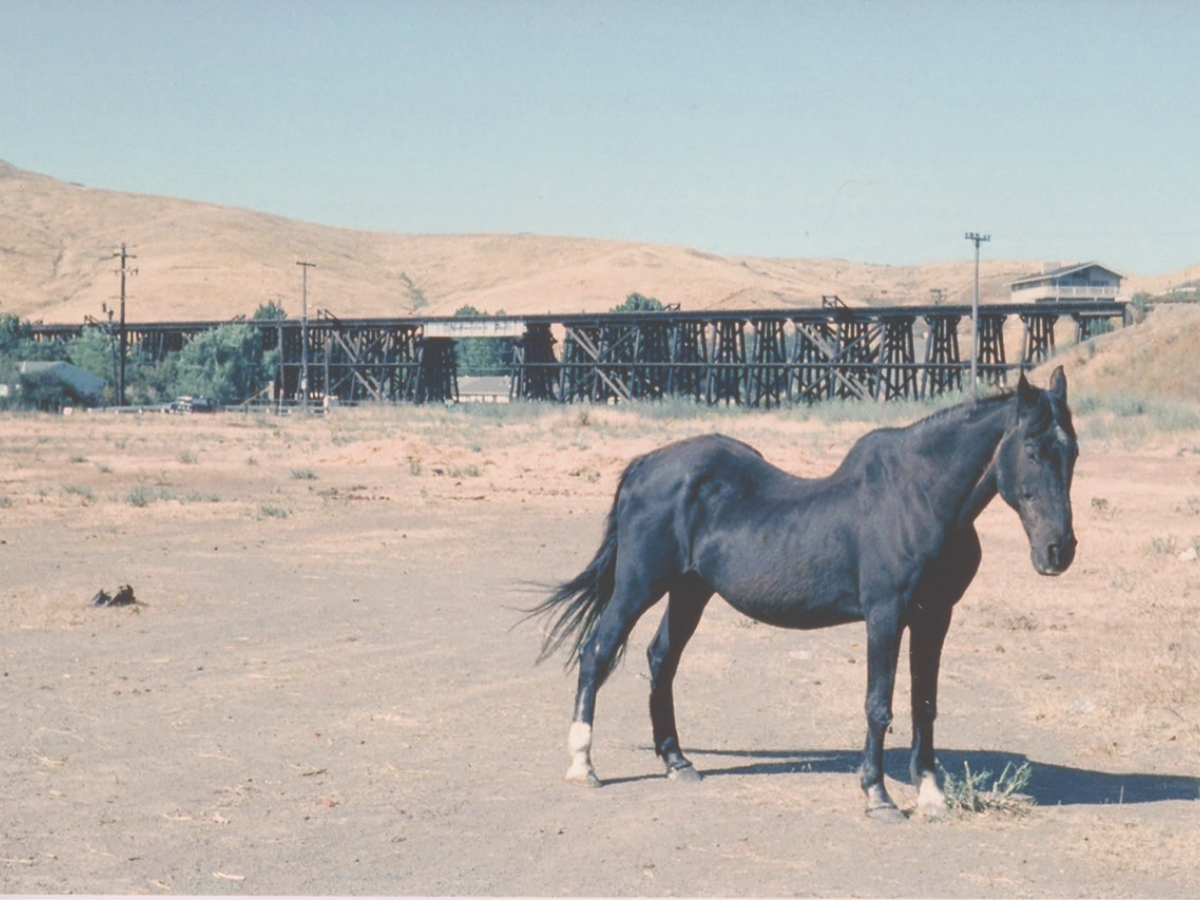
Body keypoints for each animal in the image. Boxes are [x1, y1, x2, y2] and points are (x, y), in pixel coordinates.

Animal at [527, 367, 1077, 822]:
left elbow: (925, 704)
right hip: (639, 584)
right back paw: (583, 764)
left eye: (1071, 451)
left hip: (690, 590)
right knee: (597, 652)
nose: (1059, 550)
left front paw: (932, 795)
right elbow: (879, 704)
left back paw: (677, 761)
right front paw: (877, 796)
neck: (919, 500)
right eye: (1031, 450)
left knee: (661, 659)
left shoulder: (934, 616)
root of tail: (645, 464)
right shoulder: (886, 615)